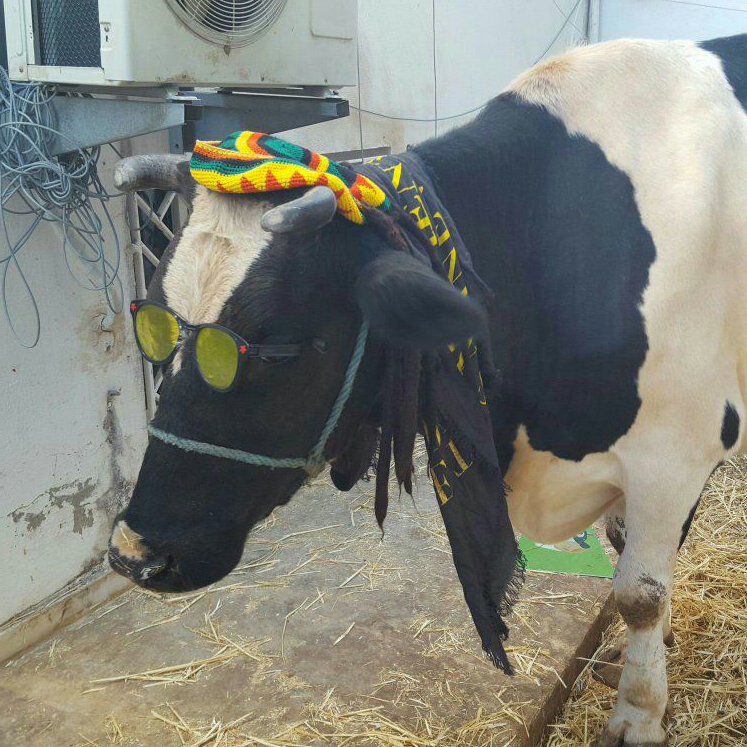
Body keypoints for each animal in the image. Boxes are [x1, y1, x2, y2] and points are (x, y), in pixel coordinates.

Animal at [108, 35, 747, 746]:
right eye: (154, 323)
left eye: (275, 351)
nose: (135, 554)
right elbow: (630, 559)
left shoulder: (676, 452)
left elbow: (640, 592)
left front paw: (638, 714)